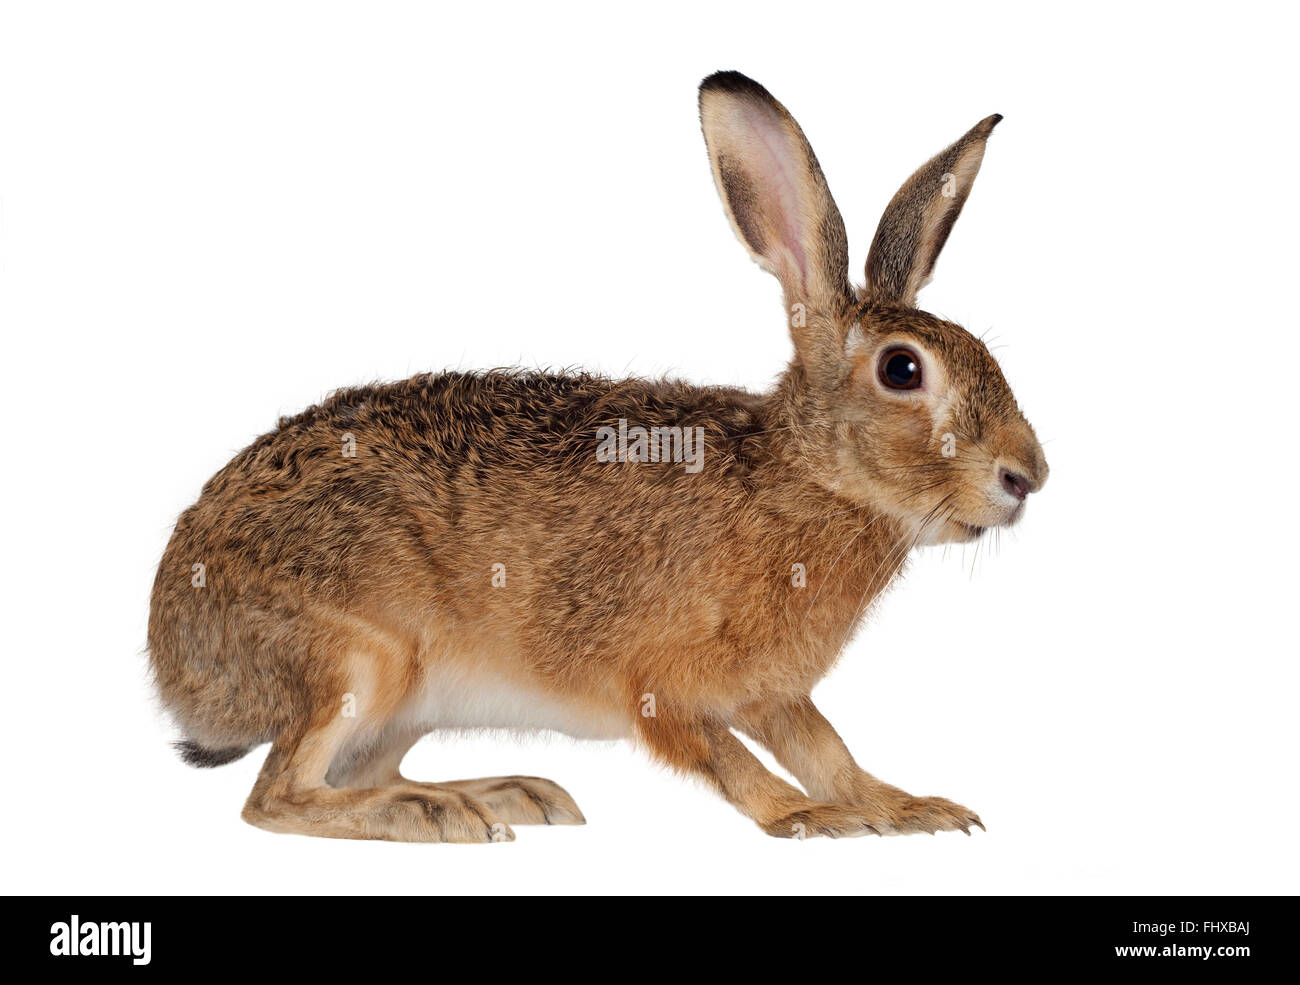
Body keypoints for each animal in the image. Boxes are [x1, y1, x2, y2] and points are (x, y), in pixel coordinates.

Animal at [148, 70, 1047, 842]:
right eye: (902, 370)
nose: (1027, 476)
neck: (807, 474)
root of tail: (171, 648)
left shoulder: (775, 695)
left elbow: (826, 749)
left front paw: (909, 807)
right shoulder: (660, 682)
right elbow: (726, 755)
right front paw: (807, 817)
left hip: (406, 701)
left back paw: (493, 794)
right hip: (358, 659)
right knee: (279, 794)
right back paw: (432, 814)